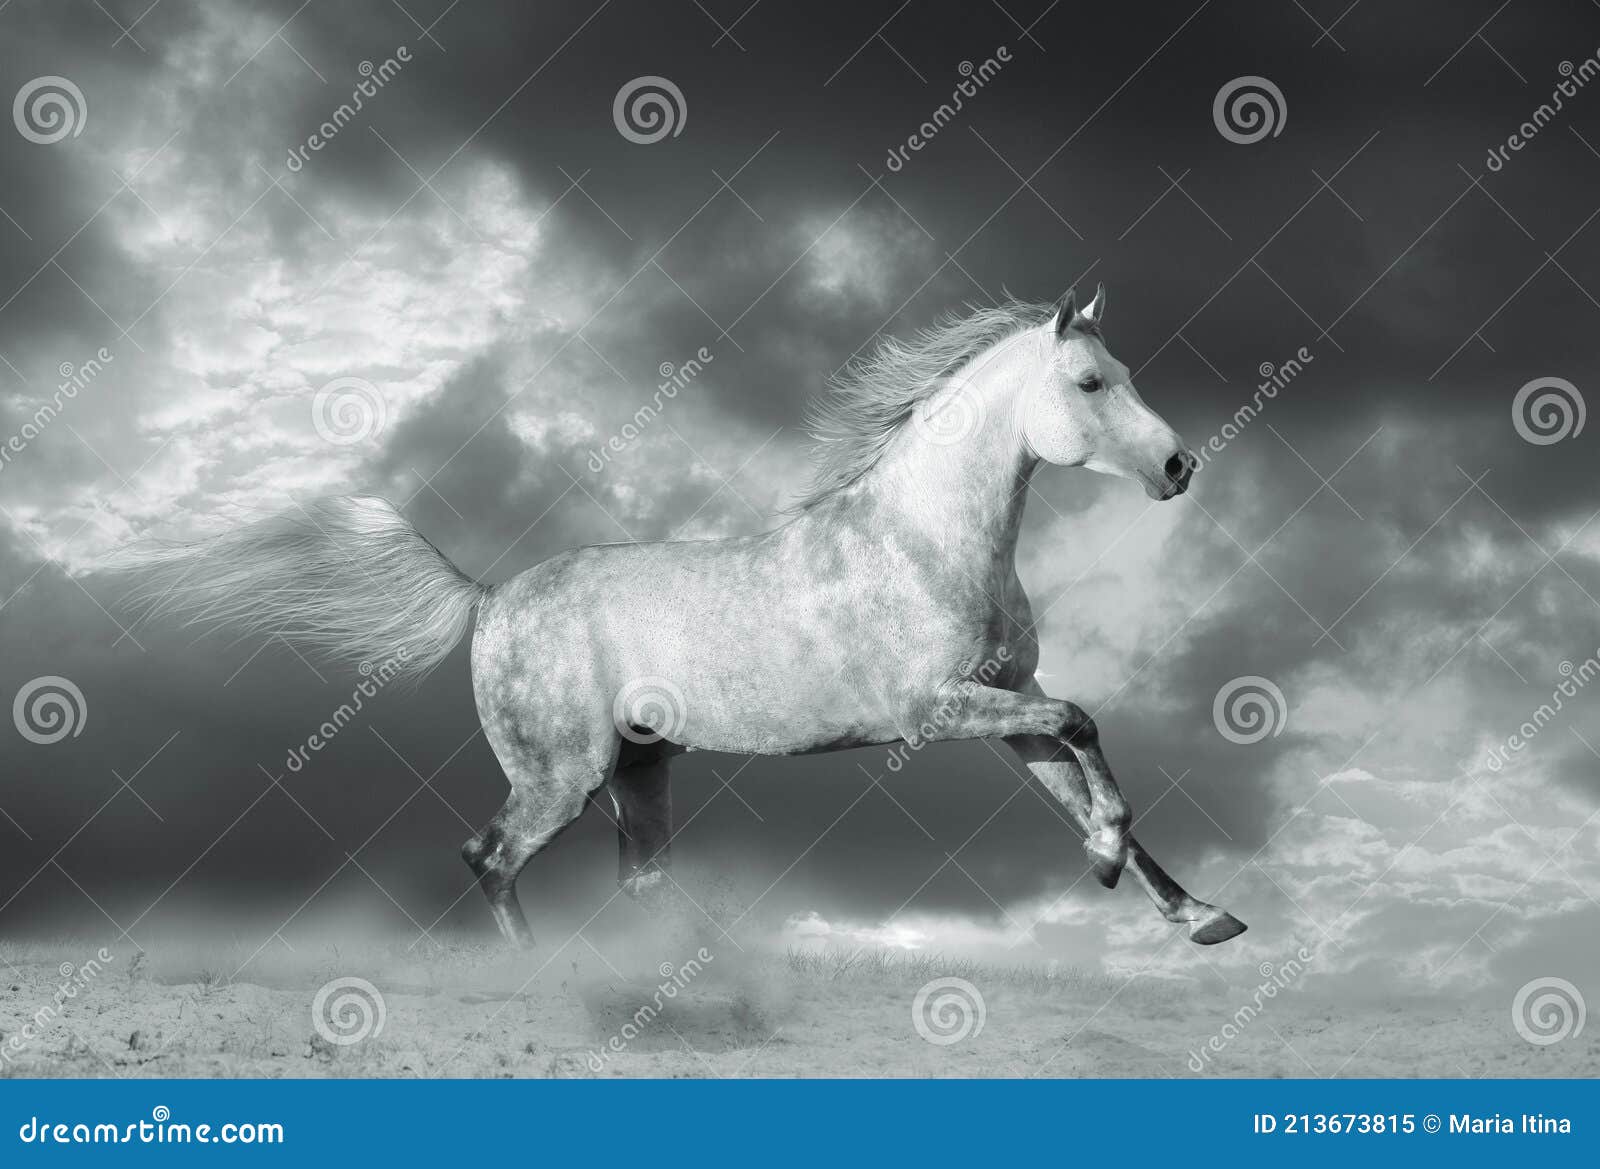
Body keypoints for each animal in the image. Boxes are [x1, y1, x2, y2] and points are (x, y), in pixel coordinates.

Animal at [131, 284, 1246, 949]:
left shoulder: (1006, 697)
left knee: (638, 884)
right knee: (490, 857)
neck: (922, 537)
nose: (1180, 464)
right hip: (563, 775)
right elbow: (1085, 726)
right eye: (1089, 381)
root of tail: (487, 597)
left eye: (1124, 373)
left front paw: (1193, 911)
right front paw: (1110, 862)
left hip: (641, 770)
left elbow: (1080, 764)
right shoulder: (937, 709)